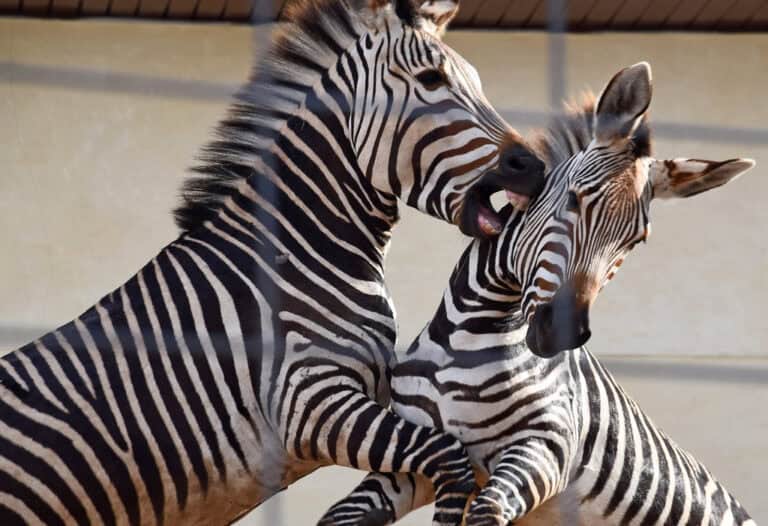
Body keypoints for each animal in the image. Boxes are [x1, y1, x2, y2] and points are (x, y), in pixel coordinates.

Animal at [319, 62, 757, 526]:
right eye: (573, 200)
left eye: (635, 241)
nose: (564, 332)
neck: (470, 330)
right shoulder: (419, 456)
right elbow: (341, 515)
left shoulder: (546, 447)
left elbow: (488, 510)